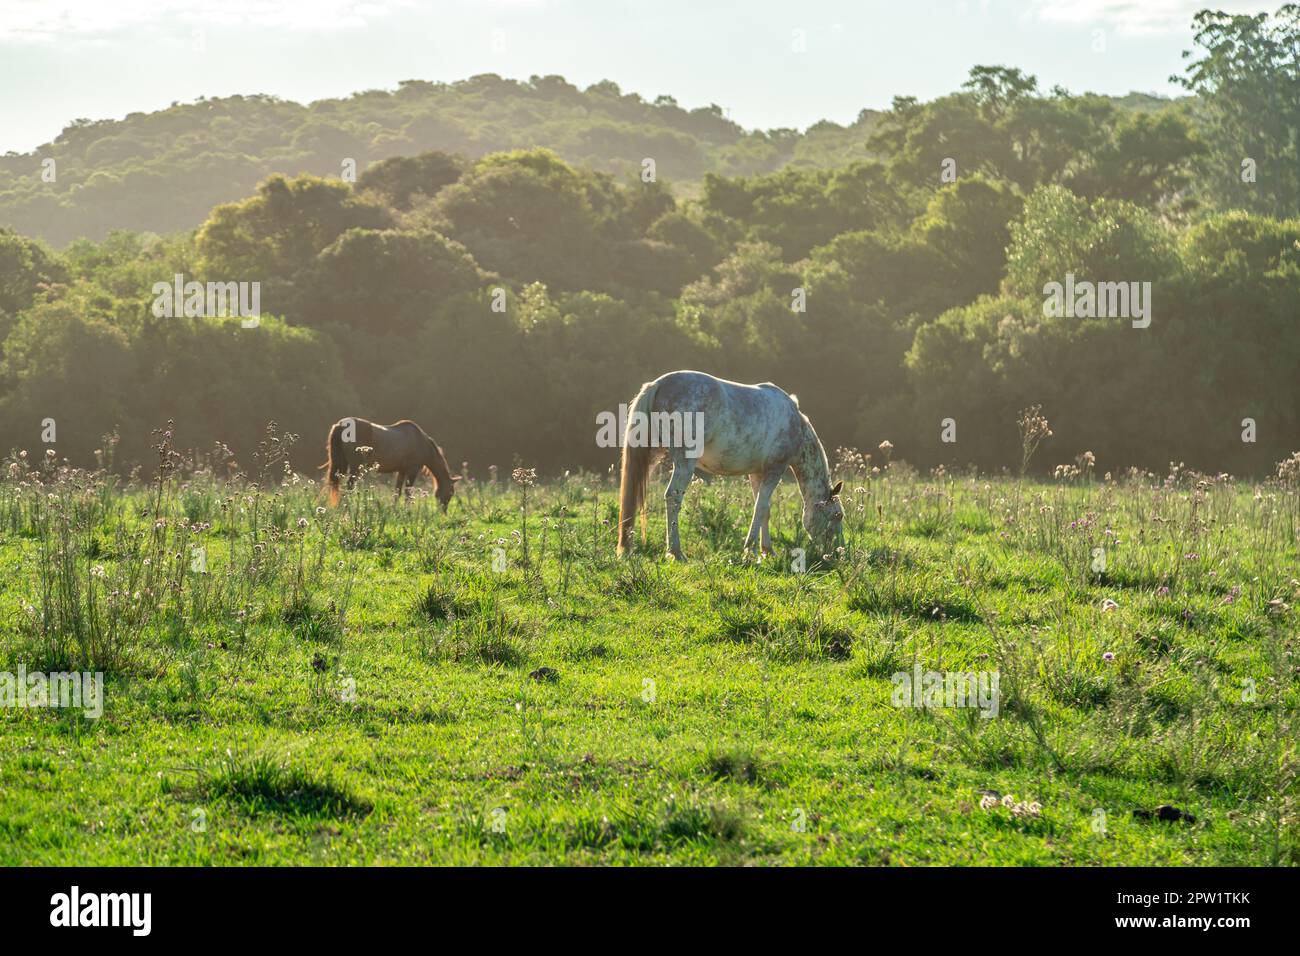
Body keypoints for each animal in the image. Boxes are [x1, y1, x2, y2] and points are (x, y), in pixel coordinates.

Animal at [321, 417, 458, 510]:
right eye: (450, 492)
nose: (443, 512)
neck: (421, 443)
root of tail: (341, 425)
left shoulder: (402, 471)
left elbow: (397, 492)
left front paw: (395, 510)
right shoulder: (412, 470)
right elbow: (408, 493)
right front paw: (407, 511)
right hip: (356, 468)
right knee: (349, 487)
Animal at [616, 371, 843, 560]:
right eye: (837, 515)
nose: (837, 553)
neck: (794, 422)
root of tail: (659, 384)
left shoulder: (757, 474)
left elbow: (764, 509)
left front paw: (767, 550)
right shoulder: (775, 470)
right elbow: (760, 507)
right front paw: (750, 549)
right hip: (684, 463)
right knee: (673, 497)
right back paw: (676, 551)